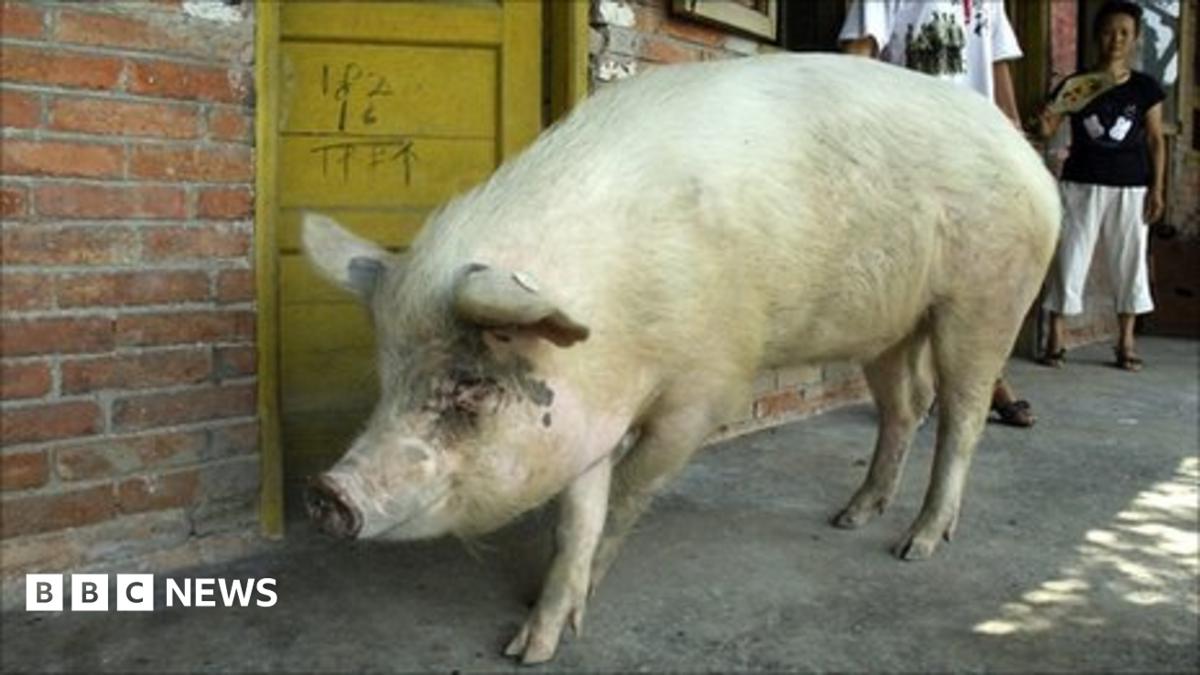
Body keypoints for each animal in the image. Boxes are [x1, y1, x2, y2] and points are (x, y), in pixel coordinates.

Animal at [302, 53, 1060, 663]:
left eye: (470, 386)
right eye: (387, 381)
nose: (328, 492)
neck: (619, 320)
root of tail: (1030, 161)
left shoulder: (706, 388)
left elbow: (627, 493)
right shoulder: (583, 412)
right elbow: (577, 517)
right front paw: (528, 645)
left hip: (987, 297)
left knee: (961, 416)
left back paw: (916, 544)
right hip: (894, 324)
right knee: (906, 406)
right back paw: (849, 517)